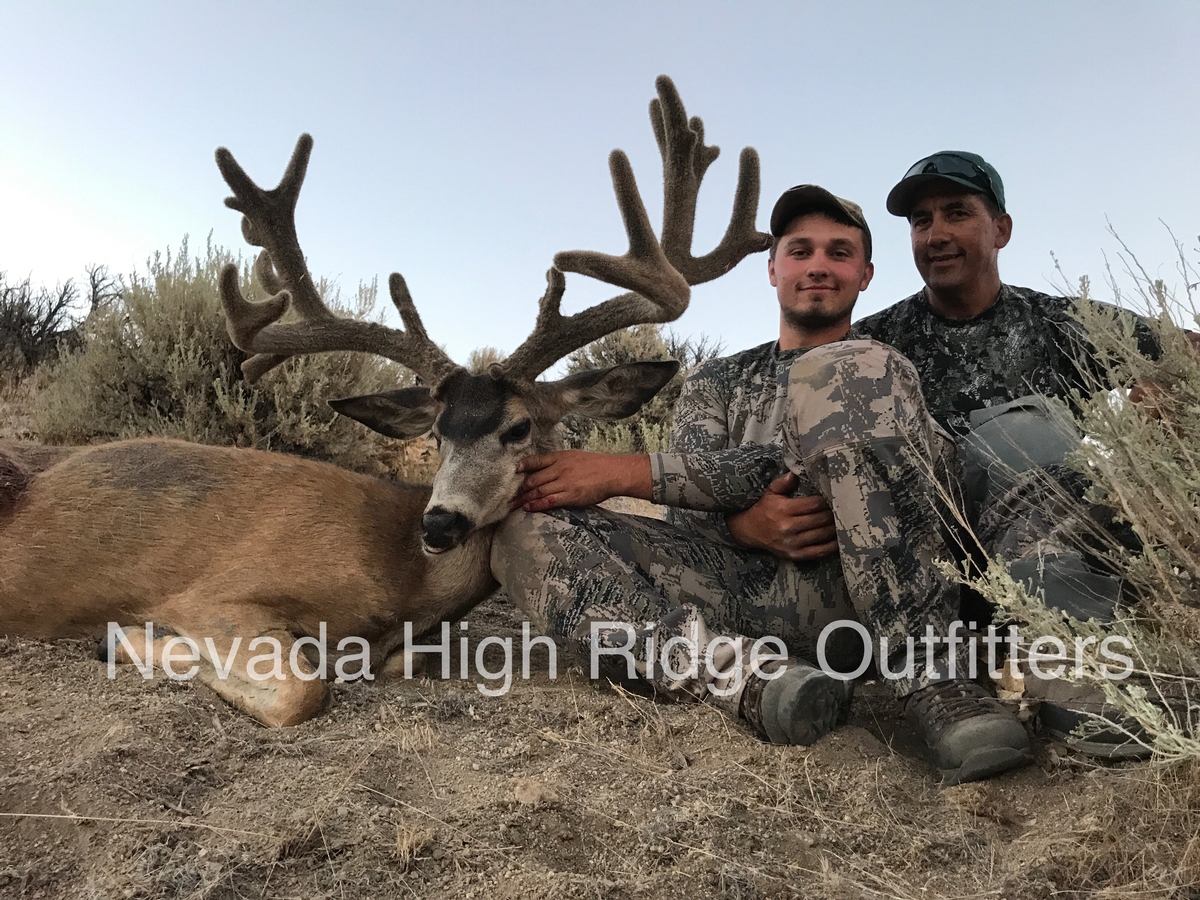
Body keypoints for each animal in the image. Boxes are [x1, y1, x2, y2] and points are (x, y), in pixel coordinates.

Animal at [0, 76, 770, 728]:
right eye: (436, 432)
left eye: (520, 428)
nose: (441, 521)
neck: (401, 577)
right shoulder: (214, 592)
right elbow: (302, 685)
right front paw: (131, 639)